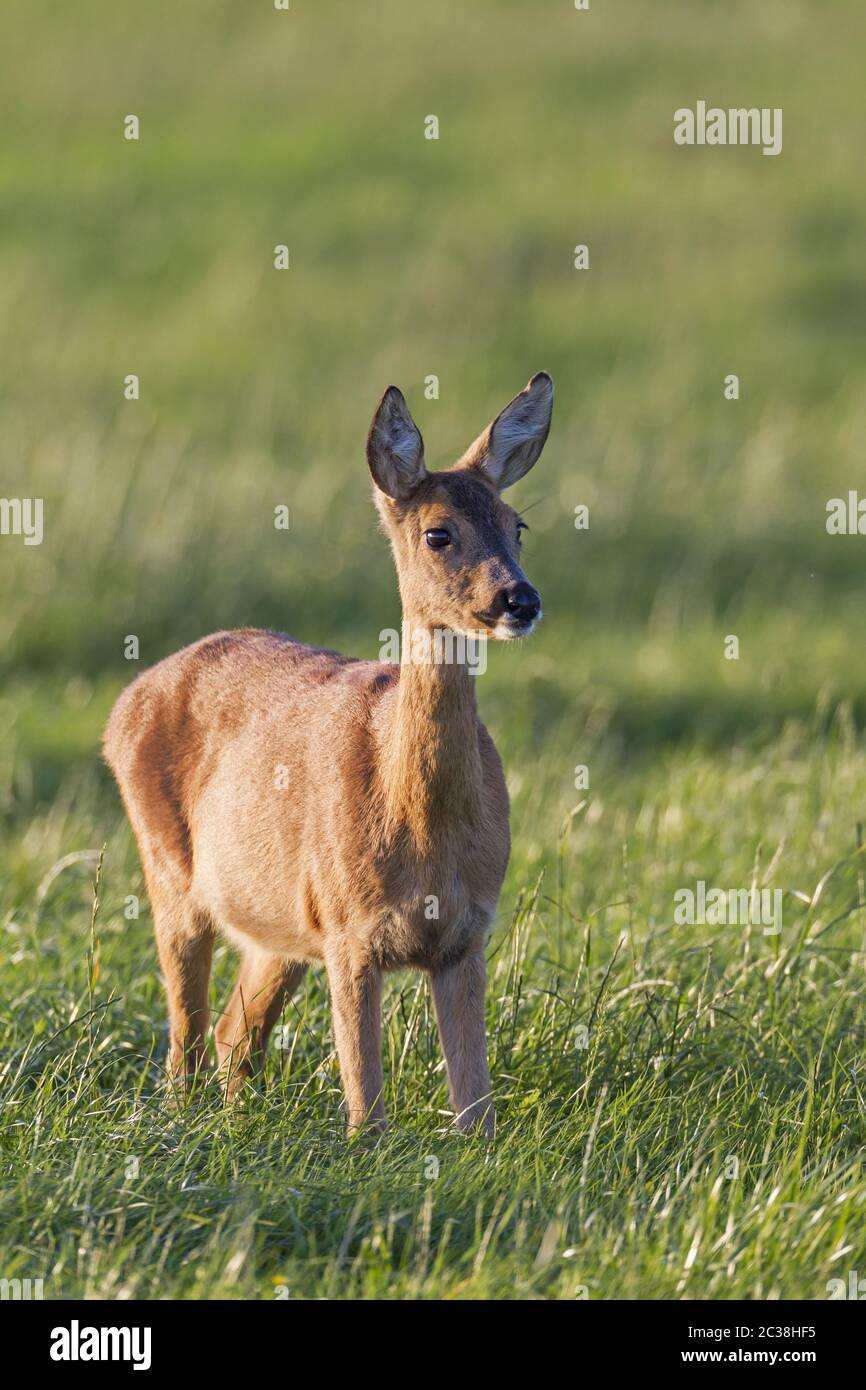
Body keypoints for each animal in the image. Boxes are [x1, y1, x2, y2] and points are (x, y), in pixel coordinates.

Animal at [103, 371, 553, 1137]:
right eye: (438, 533)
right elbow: (365, 1108)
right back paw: (182, 1120)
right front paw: (365, 1144)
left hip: (276, 922)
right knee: (184, 1041)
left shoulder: (467, 934)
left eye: (517, 525)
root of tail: (123, 706)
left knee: (234, 1033)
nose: (519, 599)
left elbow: (477, 1111)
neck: (421, 829)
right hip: (170, 873)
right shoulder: (349, 930)